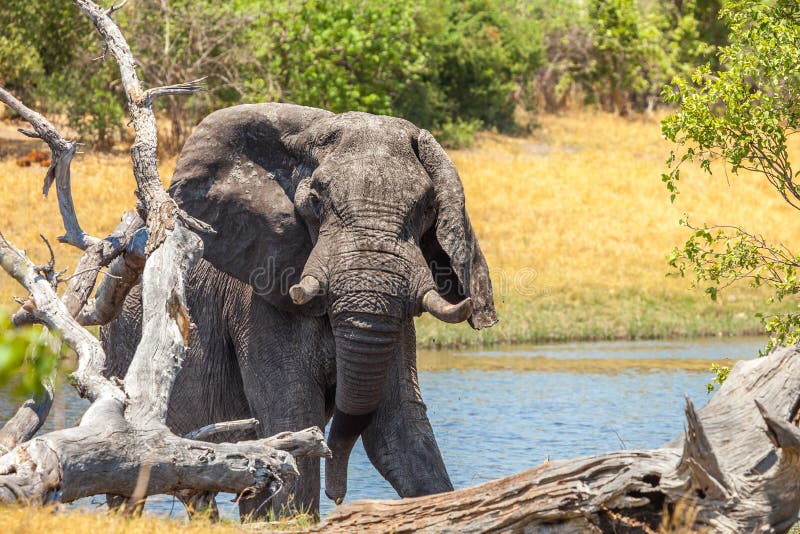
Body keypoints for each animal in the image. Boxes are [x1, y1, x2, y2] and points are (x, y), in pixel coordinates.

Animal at [102, 103, 497, 517]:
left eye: (426, 207)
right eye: (316, 202)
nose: (338, 496)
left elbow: (399, 428)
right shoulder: (257, 306)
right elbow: (295, 418)